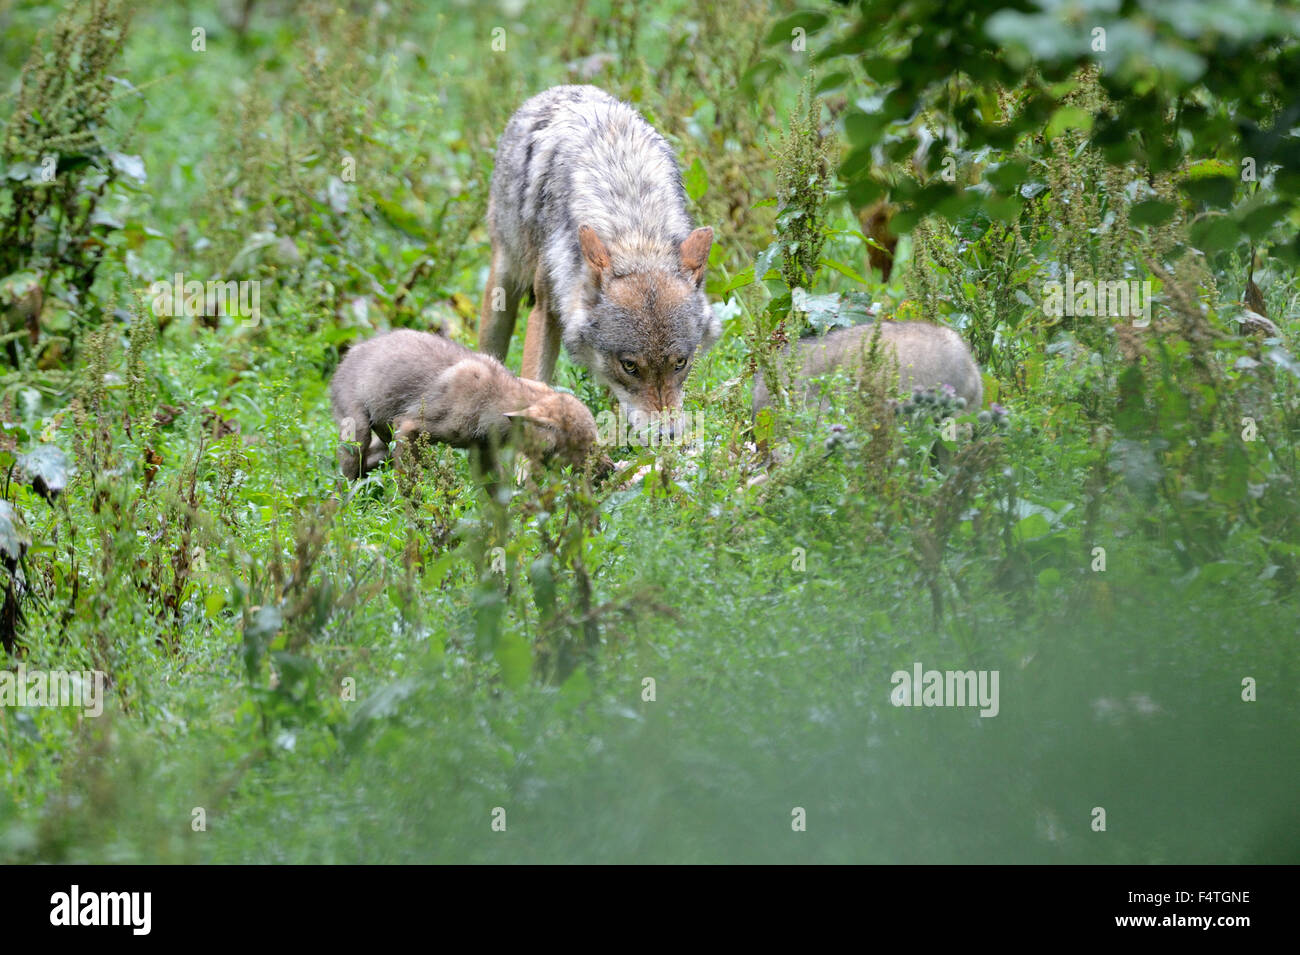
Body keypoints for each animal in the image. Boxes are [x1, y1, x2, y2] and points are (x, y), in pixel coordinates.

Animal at [329, 329, 597, 480]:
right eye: (587, 449)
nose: (605, 472)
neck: (492, 400)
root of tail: (347, 354)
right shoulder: (408, 426)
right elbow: (409, 482)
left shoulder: (482, 452)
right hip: (357, 433)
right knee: (348, 479)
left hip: (383, 441)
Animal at [479, 85, 719, 434]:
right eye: (630, 366)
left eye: (680, 363)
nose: (666, 436)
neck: (633, 227)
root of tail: (565, 88)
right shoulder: (545, 310)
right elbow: (535, 385)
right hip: (502, 286)